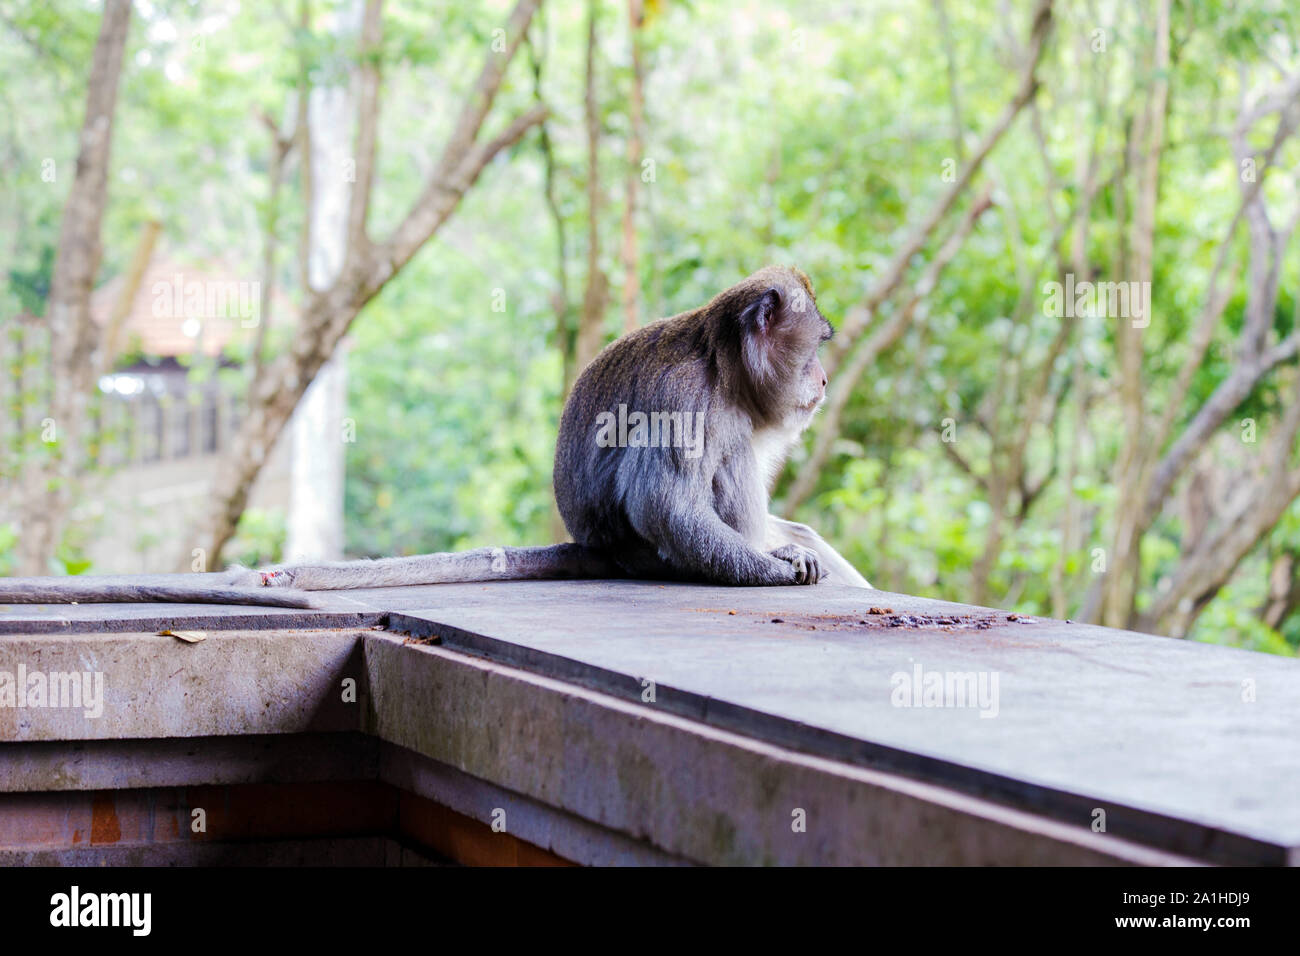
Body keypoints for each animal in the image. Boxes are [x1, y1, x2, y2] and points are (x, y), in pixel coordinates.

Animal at [0, 266, 870, 607]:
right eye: (817, 346)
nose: (825, 382)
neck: (724, 368)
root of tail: (595, 546)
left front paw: (798, 551)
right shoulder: (686, 401)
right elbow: (668, 506)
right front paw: (773, 568)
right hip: (644, 546)